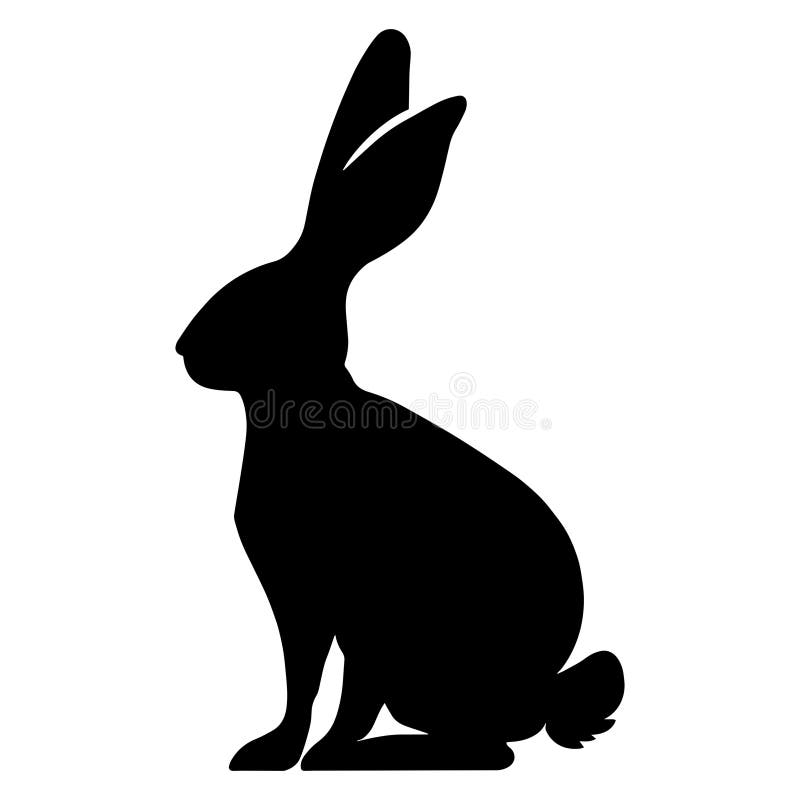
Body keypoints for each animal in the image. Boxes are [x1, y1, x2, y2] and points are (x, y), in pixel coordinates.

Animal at [176, 29, 624, 771]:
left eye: (260, 301)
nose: (183, 348)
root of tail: (541, 697)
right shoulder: (302, 602)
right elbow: (302, 682)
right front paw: (273, 751)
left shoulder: (355, 600)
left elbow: (334, 686)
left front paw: (309, 756)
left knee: (491, 747)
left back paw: (375, 755)